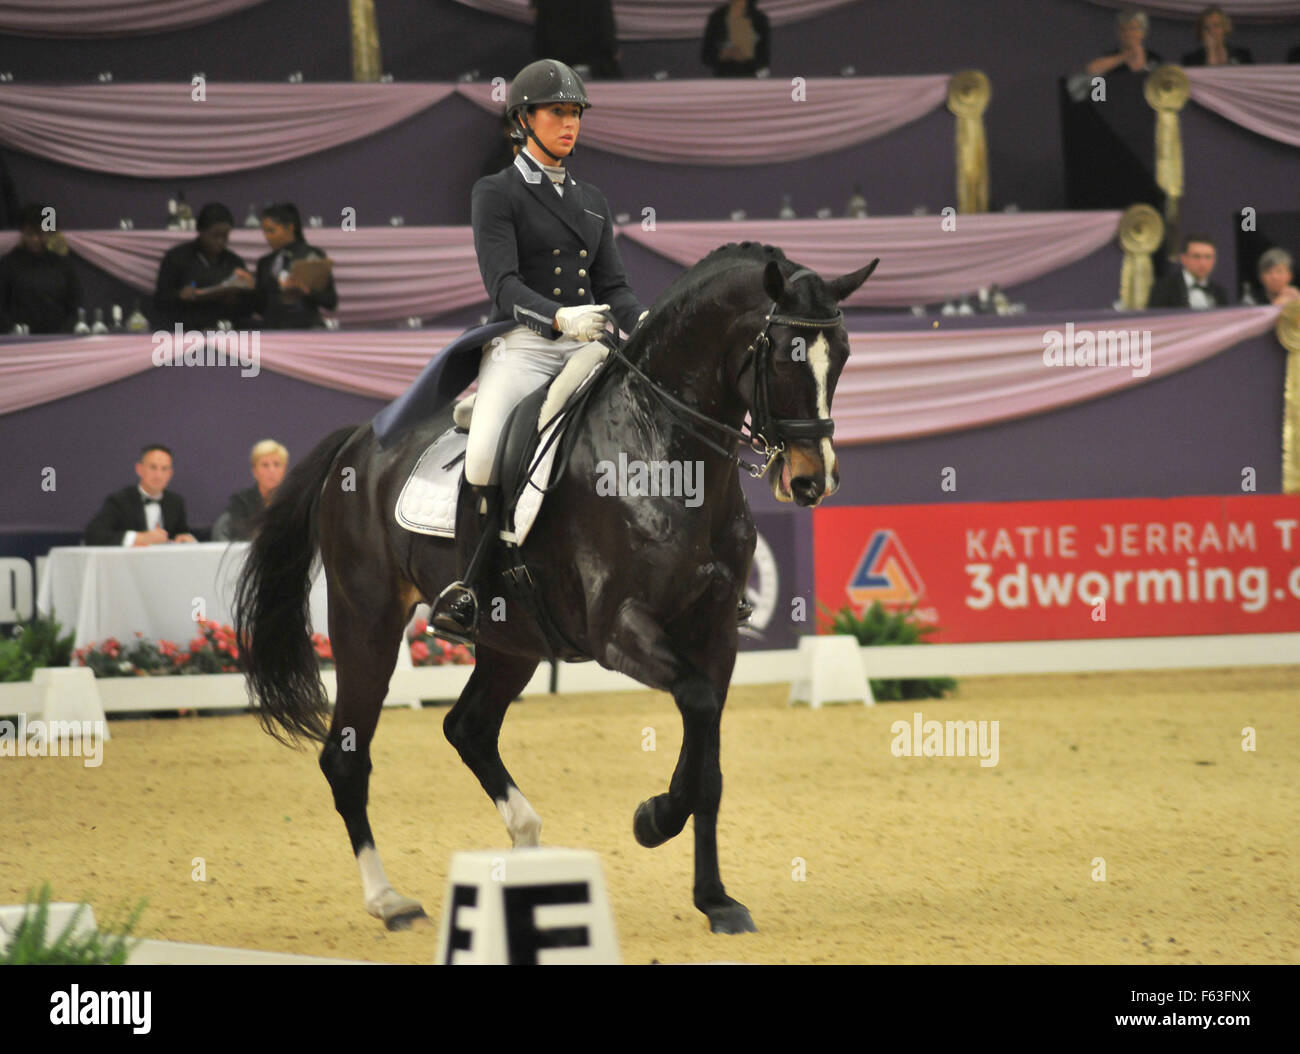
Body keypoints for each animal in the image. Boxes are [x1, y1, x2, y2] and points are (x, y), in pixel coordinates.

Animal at [233, 241, 878, 936]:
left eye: (843, 353)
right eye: (784, 353)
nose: (813, 482)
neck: (667, 450)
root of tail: (358, 441)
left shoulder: (715, 634)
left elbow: (708, 759)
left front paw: (715, 899)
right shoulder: (618, 630)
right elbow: (698, 708)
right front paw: (653, 820)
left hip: (510, 640)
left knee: (468, 728)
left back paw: (525, 855)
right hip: (367, 621)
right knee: (347, 756)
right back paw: (389, 900)